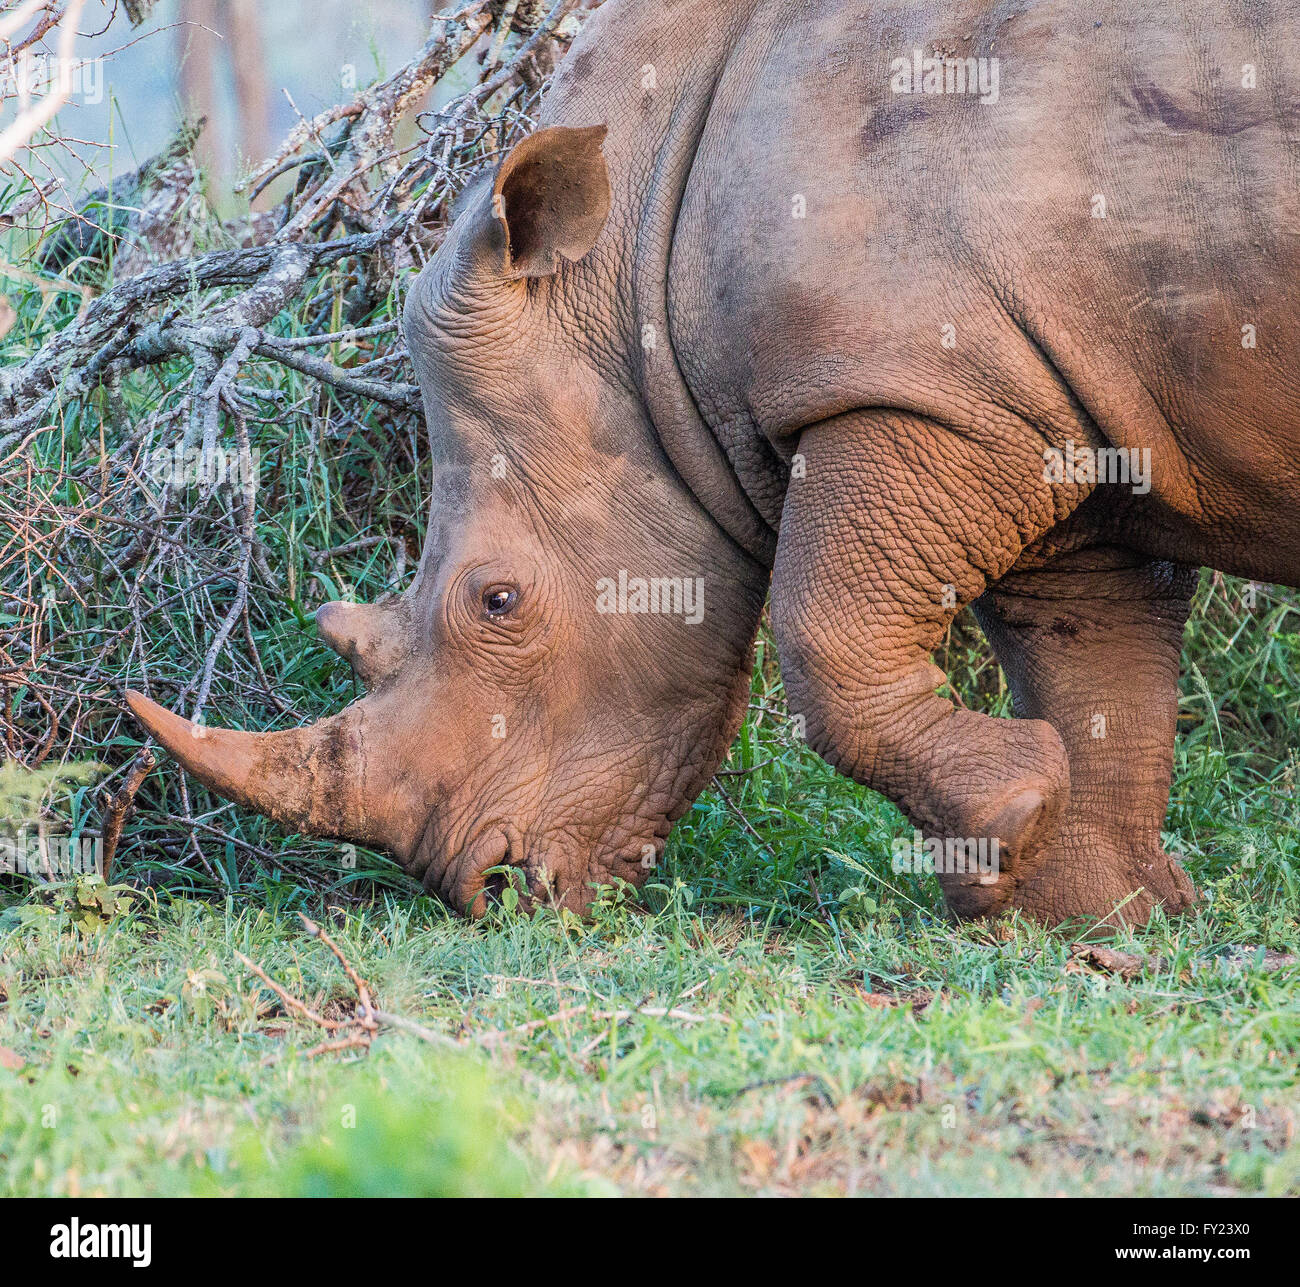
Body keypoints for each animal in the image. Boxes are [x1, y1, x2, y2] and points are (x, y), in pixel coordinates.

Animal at [127, 0, 1300, 925]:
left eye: (499, 601)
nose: (491, 889)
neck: (634, 255)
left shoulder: (918, 384)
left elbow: (823, 634)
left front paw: (1011, 837)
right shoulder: (1053, 401)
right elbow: (1094, 672)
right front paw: (1095, 915)